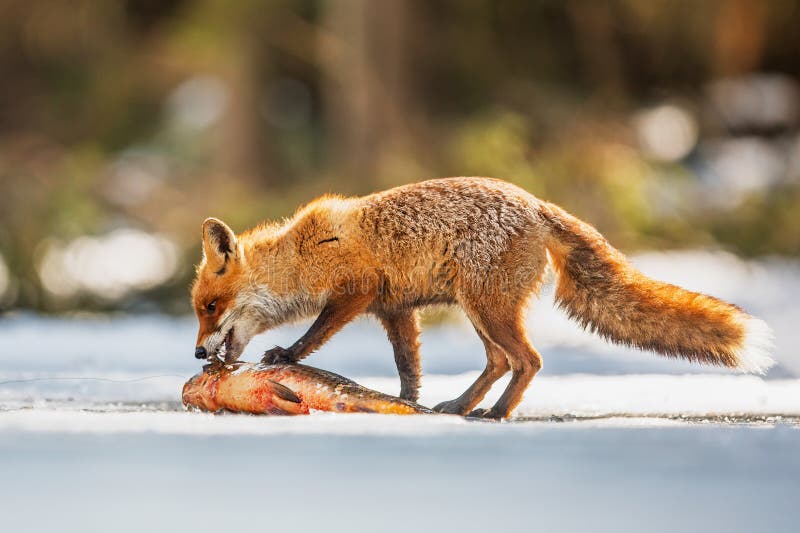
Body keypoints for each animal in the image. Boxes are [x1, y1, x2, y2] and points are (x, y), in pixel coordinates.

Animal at [191, 177, 774, 419]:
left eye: (209, 308)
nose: (197, 353)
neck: (303, 252)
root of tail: (539, 205)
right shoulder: (396, 309)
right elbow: (408, 368)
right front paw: (403, 403)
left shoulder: (356, 294)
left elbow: (314, 335)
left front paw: (286, 354)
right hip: (479, 311)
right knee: (500, 361)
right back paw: (462, 407)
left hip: (486, 307)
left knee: (527, 360)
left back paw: (495, 414)